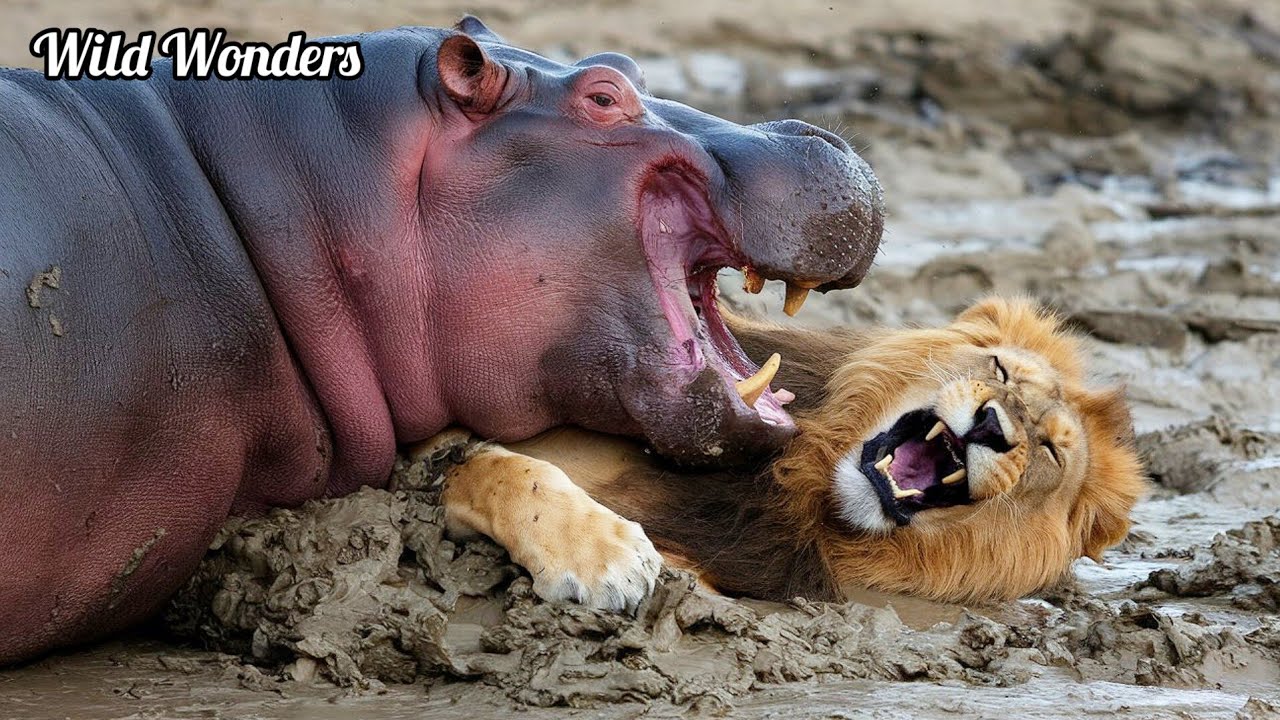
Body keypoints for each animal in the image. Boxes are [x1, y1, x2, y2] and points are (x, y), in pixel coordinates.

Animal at [430, 297, 1147, 610]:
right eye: (999, 370)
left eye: (1050, 452)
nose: (992, 427)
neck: (797, 479)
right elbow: (500, 466)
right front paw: (602, 556)